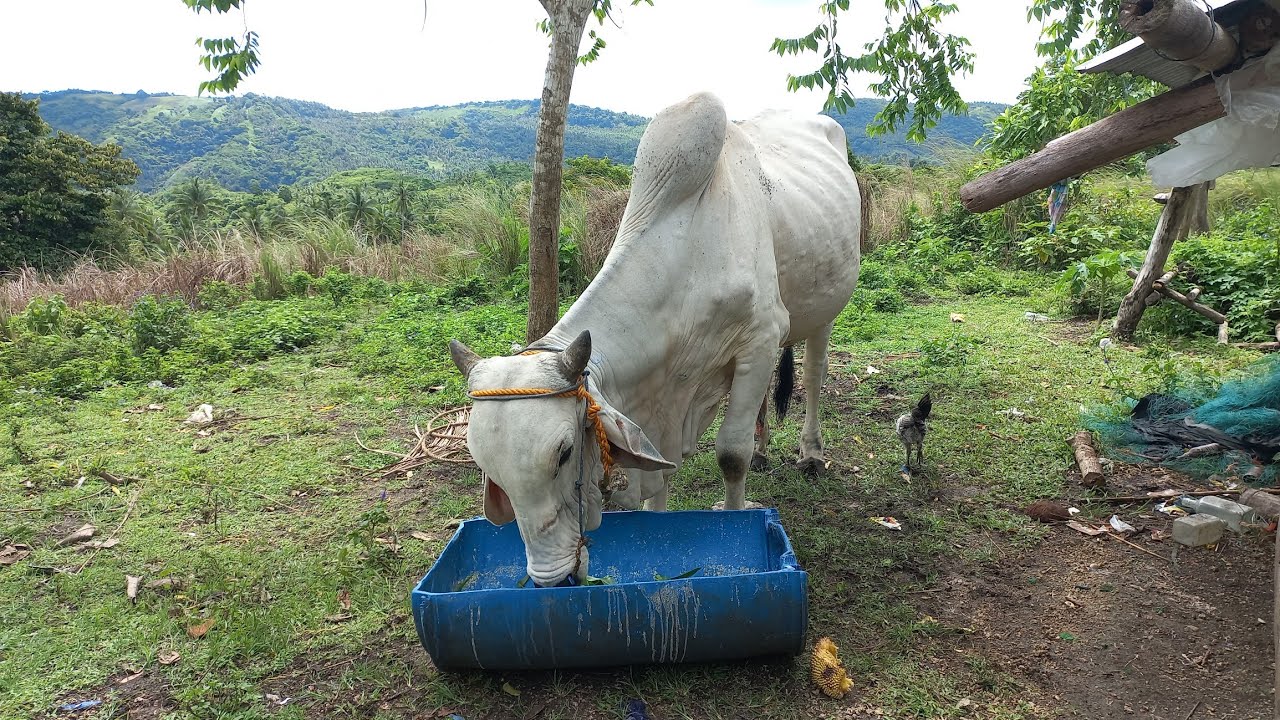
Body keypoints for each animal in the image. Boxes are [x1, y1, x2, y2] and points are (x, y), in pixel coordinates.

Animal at [448, 91, 861, 588]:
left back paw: (811, 454)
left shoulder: (760, 338)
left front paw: (736, 514)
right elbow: (661, 472)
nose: (553, 580)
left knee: (815, 374)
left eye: (565, 454)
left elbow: (731, 454)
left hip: (824, 309)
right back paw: (765, 451)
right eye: (488, 468)